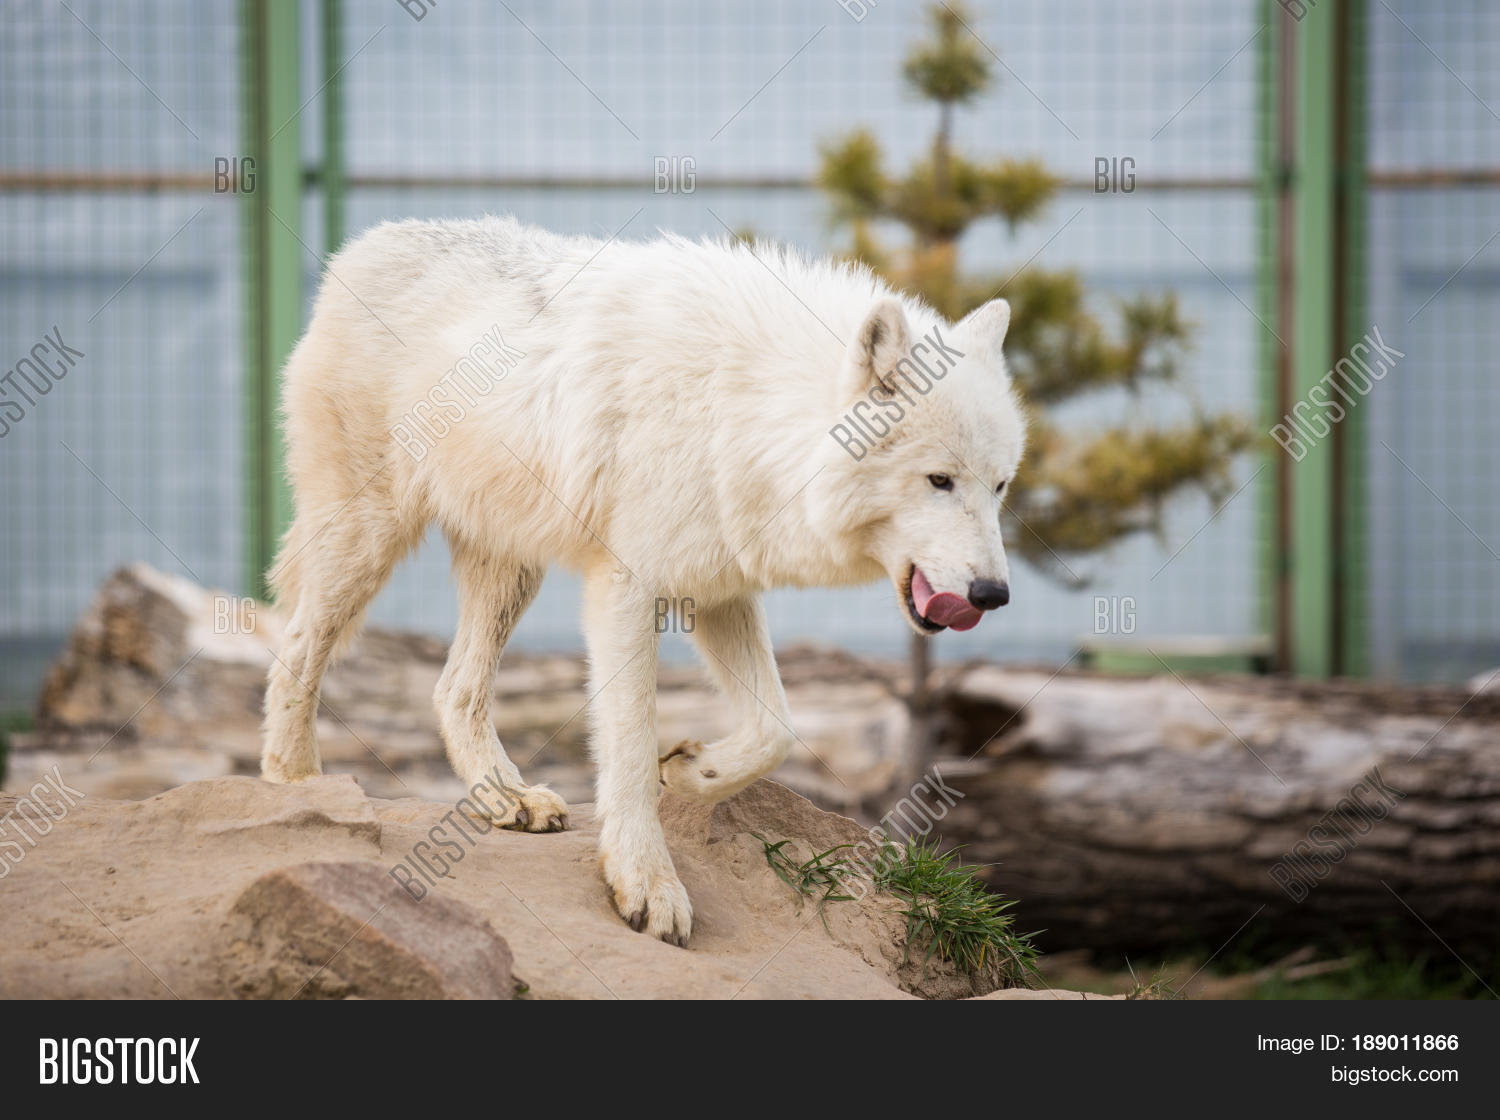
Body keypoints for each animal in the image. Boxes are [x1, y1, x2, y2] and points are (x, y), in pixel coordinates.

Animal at [261, 216, 1026, 946]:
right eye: (938, 480)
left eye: (999, 487)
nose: (994, 595)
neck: (744, 408)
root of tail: (363, 247)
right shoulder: (627, 588)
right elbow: (628, 746)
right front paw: (647, 883)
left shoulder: (720, 587)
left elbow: (775, 728)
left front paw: (691, 771)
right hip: (369, 536)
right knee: (296, 646)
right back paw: (297, 786)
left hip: (511, 568)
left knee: (453, 688)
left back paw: (505, 798)